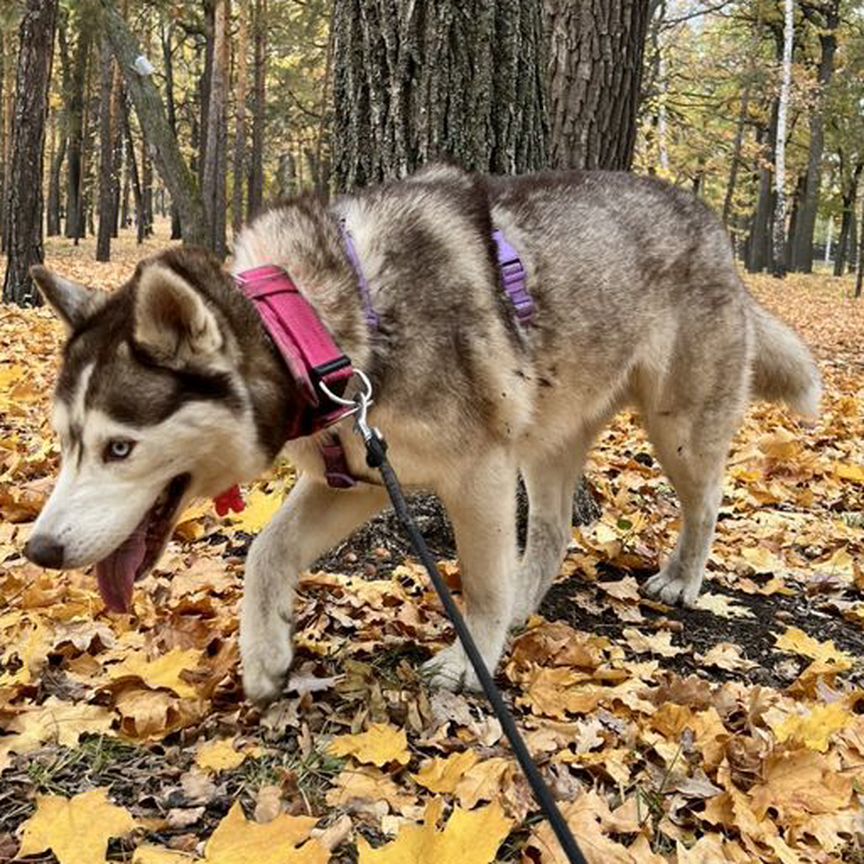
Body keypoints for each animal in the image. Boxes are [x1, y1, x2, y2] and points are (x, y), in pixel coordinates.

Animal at [22, 165, 824, 704]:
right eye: (65, 441)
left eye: (119, 447)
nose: (39, 551)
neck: (315, 331)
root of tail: (712, 223)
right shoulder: (361, 475)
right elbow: (264, 554)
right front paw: (265, 656)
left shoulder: (478, 473)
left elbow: (483, 583)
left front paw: (473, 660)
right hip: (547, 439)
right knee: (554, 529)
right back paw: (532, 600)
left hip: (675, 427)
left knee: (705, 499)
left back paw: (683, 576)